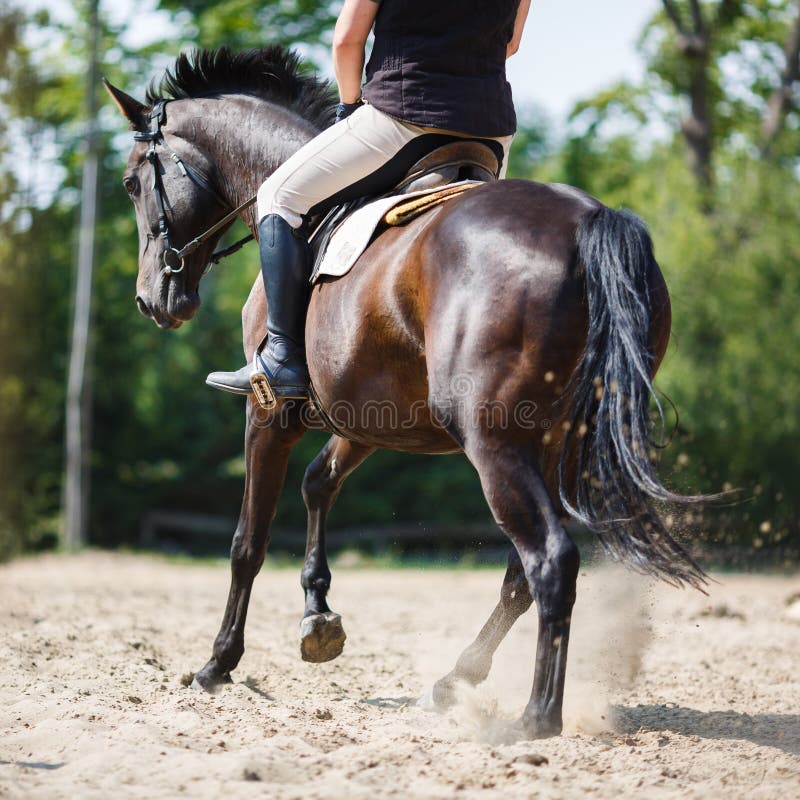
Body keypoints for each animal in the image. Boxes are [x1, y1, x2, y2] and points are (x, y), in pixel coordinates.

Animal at [105, 46, 706, 739]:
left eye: (131, 184)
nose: (151, 300)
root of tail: (588, 220)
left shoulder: (269, 413)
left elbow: (246, 543)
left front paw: (217, 665)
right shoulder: (369, 414)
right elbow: (319, 483)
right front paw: (317, 616)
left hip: (494, 442)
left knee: (550, 560)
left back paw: (534, 719)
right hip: (557, 444)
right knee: (521, 573)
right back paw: (455, 680)